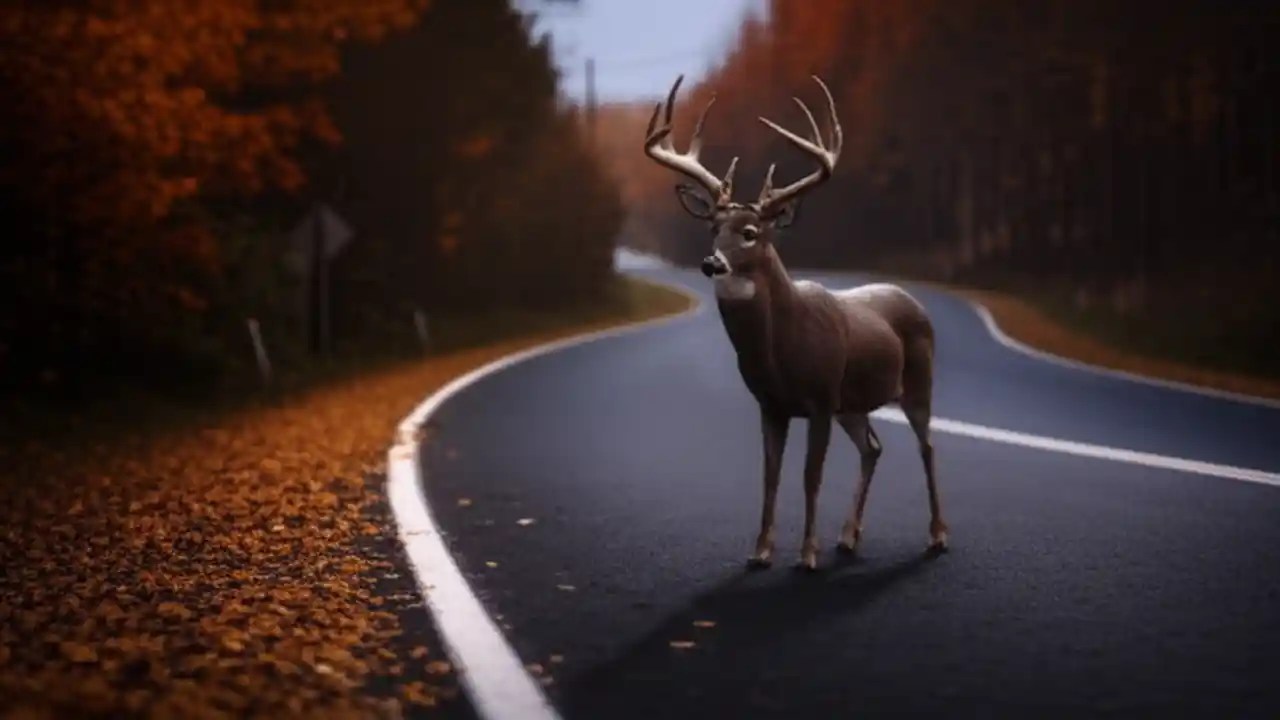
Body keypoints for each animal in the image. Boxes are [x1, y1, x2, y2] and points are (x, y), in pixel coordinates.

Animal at [643, 74, 948, 571]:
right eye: (713, 229)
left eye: (751, 232)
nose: (711, 262)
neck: (780, 353)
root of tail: (911, 298)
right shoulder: (772, 404)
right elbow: (771, 475)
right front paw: (761, 551)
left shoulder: (820, 397)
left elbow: (810, 475)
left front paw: (806, 554)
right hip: (853, 403)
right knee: (874, 446)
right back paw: (848, 537)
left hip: (916, 381)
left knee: (927, 446)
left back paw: (937, 536)